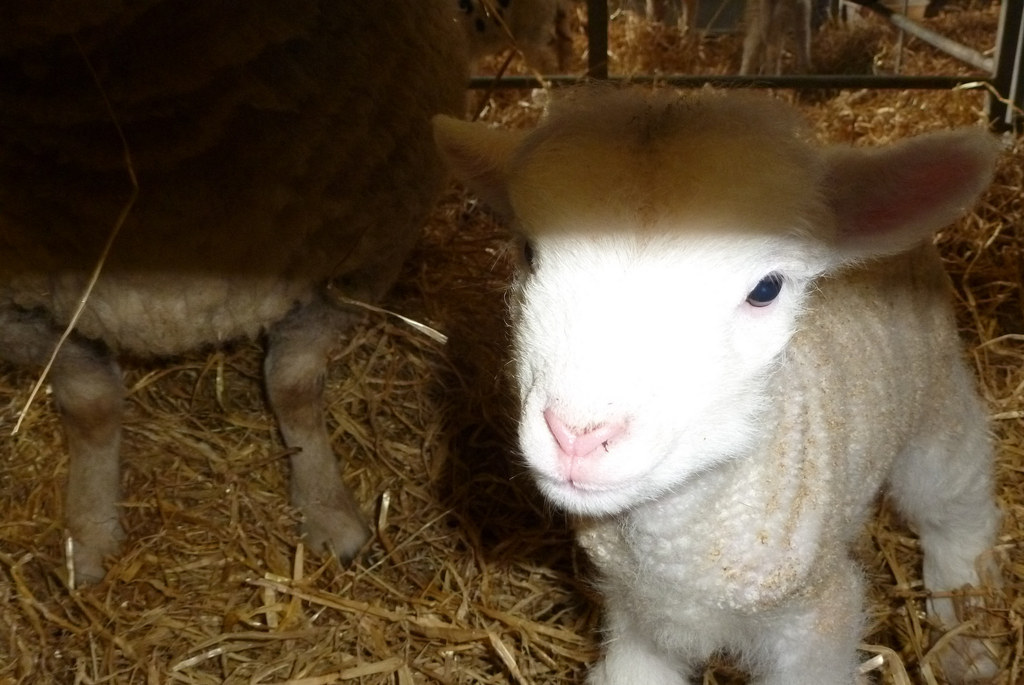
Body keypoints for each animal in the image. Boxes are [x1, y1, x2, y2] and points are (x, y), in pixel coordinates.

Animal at [0, 0, 468, 585]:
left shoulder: (350, 265)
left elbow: (294, 388)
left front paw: (328, 515)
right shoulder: (22, 307)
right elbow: (91, 406)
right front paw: (88, 534)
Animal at [434, 85, 1001, 683]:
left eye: (767, 289)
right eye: (529, 253)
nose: (577, 437)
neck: (677, 550)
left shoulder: (816, 621)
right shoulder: (638, 622)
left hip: (936, 392)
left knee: (955, 496)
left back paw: (968, 633)